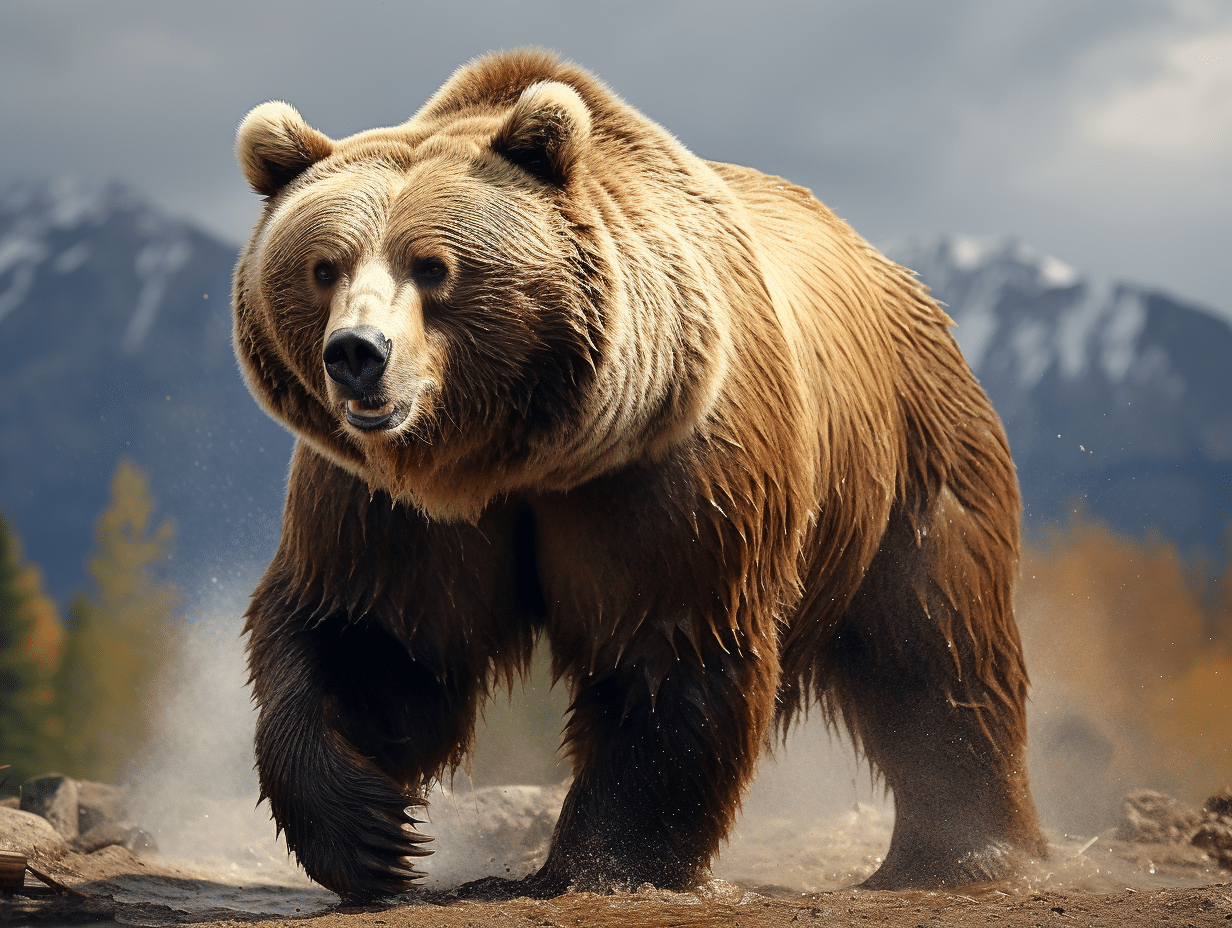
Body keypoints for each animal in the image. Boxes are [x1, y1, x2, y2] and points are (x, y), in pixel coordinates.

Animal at [232, 48, 1047, 901]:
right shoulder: (391, 503)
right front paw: (373, 830)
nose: (358, 353)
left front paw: (600, 864)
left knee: (938, 638)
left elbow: (668, 646)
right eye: (324, 266)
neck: (514, 454)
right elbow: (371, 633)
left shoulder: (663, 470)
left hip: (914, 451)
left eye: (434, 266)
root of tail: (893, 271)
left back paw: (961, 853)